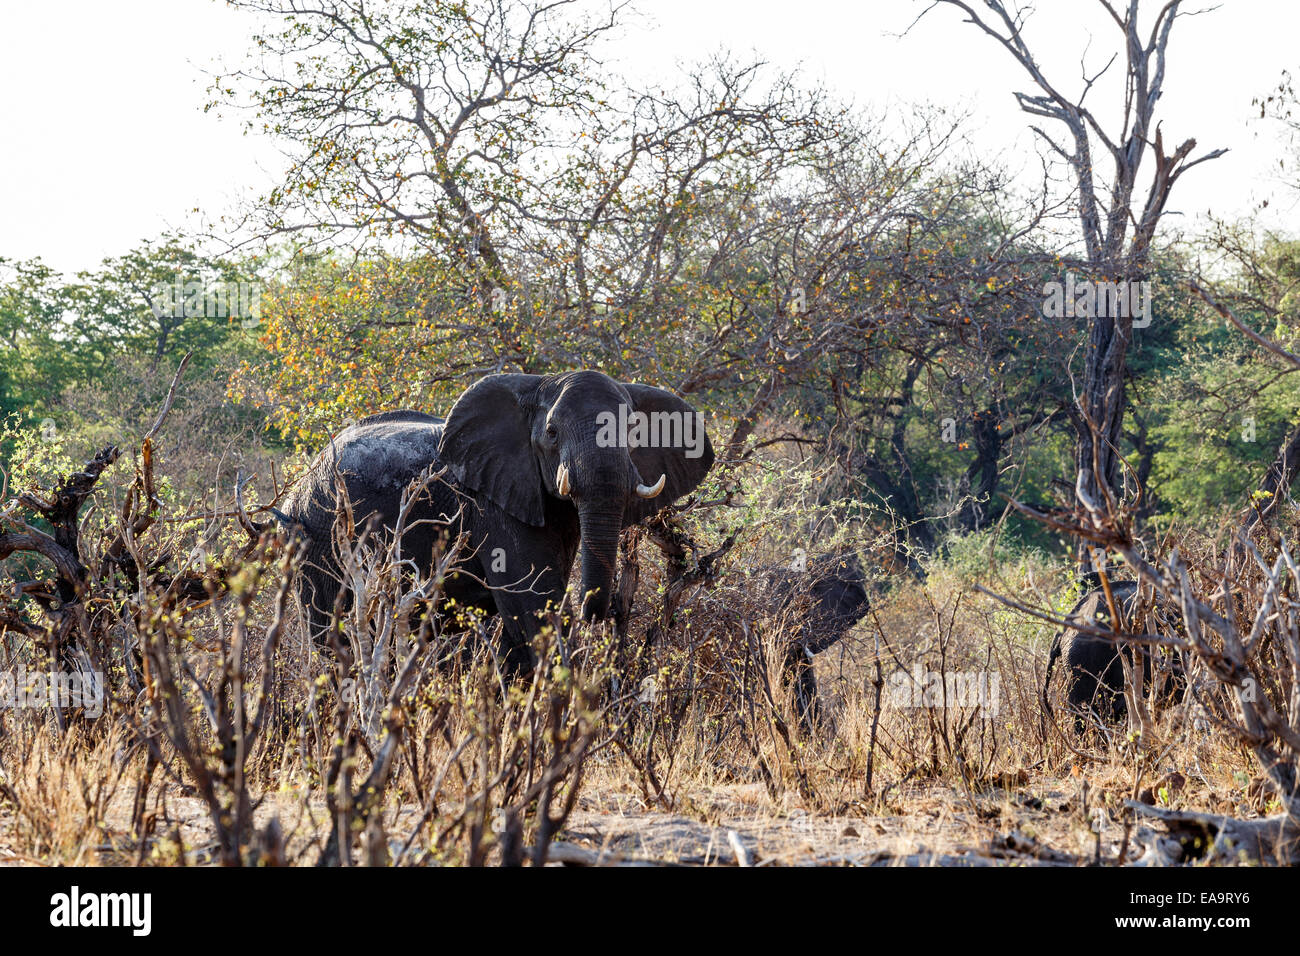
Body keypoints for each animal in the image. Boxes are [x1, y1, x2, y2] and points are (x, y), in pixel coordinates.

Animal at [279, 370, 714, 674]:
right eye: (551, 433)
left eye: (634, 430)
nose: (600, 615)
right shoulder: (492, 503)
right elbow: (534, 604)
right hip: (318, 536)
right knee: (334, 636)